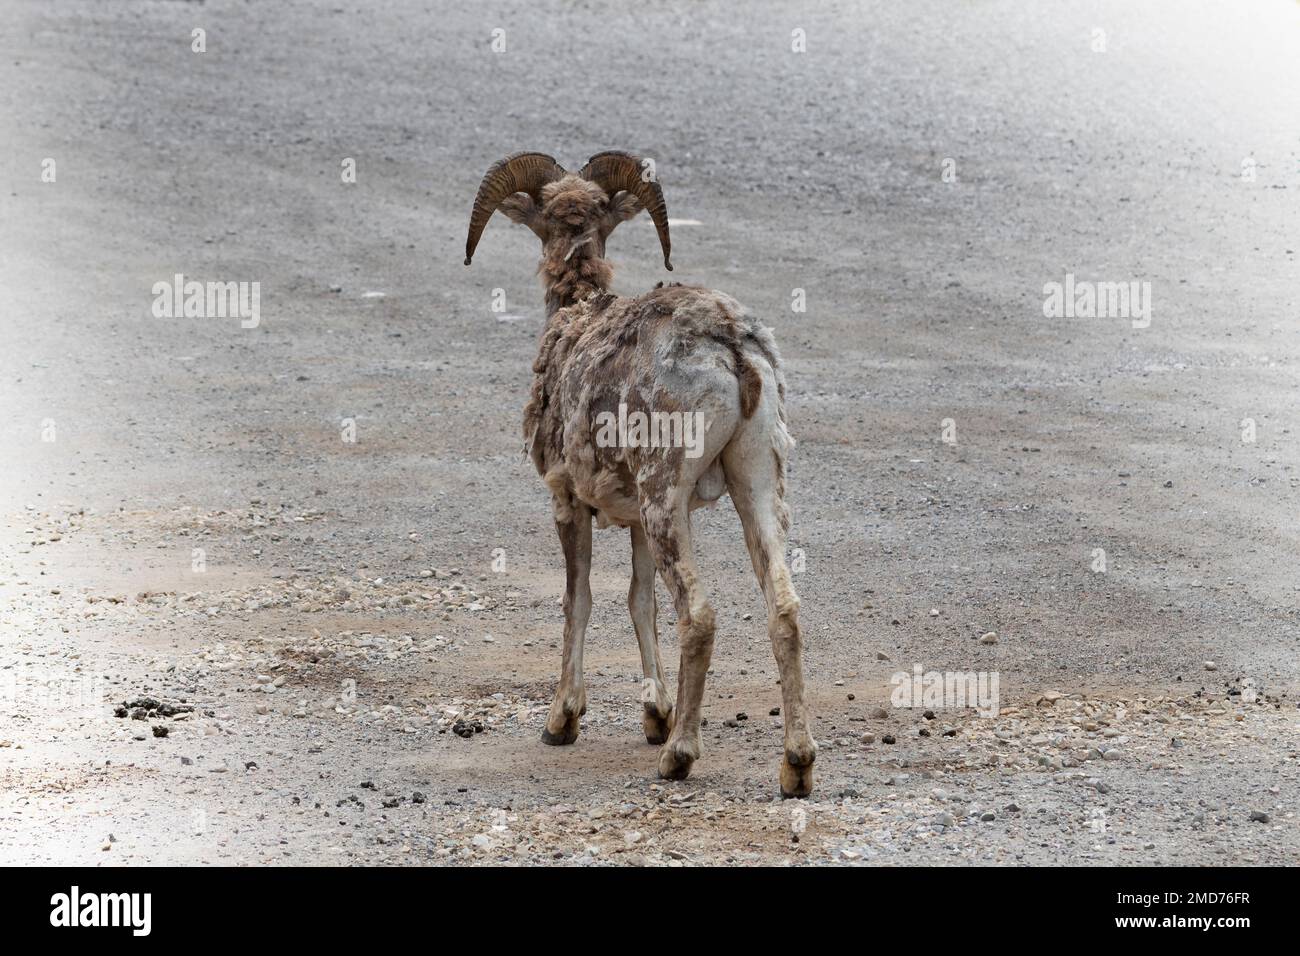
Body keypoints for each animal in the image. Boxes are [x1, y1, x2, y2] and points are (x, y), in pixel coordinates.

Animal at [464, 150, 815, 797]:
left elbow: (579, 601)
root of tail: (732, 349)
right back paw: (796, 767)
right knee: (783, 607)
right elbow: (639, 601)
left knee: (698, 617)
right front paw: (656, 714)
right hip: (756, 479)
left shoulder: (568, 500)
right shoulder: (634, 520)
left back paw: (679, 757)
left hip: (664, 494)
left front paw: (563, 721)